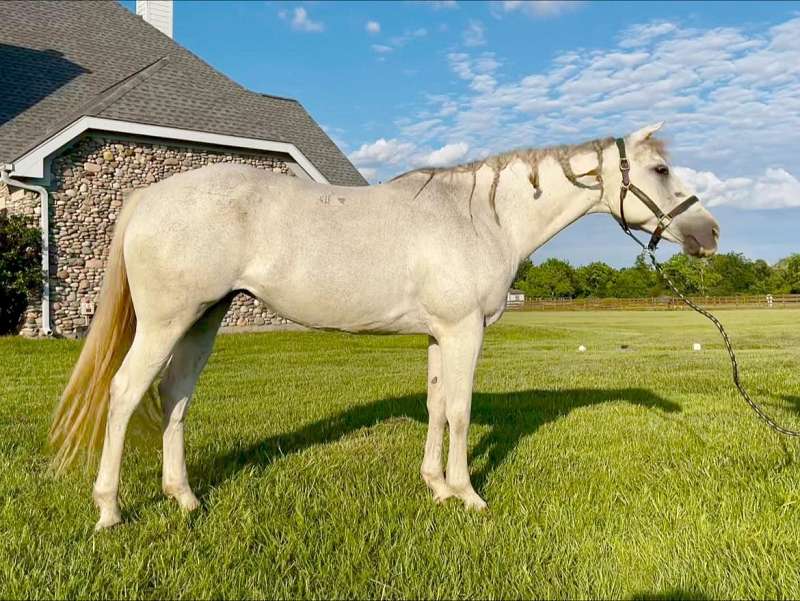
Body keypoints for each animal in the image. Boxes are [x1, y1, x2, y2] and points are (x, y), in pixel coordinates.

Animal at [50, 122, 719, 530]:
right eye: (661, 171)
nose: (709, 233)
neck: (481, 218)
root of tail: (150, 197)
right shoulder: (464, 332)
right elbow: (460, 412)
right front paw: (468, 495)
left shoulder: (439, 335)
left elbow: (435, 407)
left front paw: (436, 487)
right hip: (166, 322)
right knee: (125, 392)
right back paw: (110, 511)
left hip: (202, 320)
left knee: (174, 397)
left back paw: (185, 499)